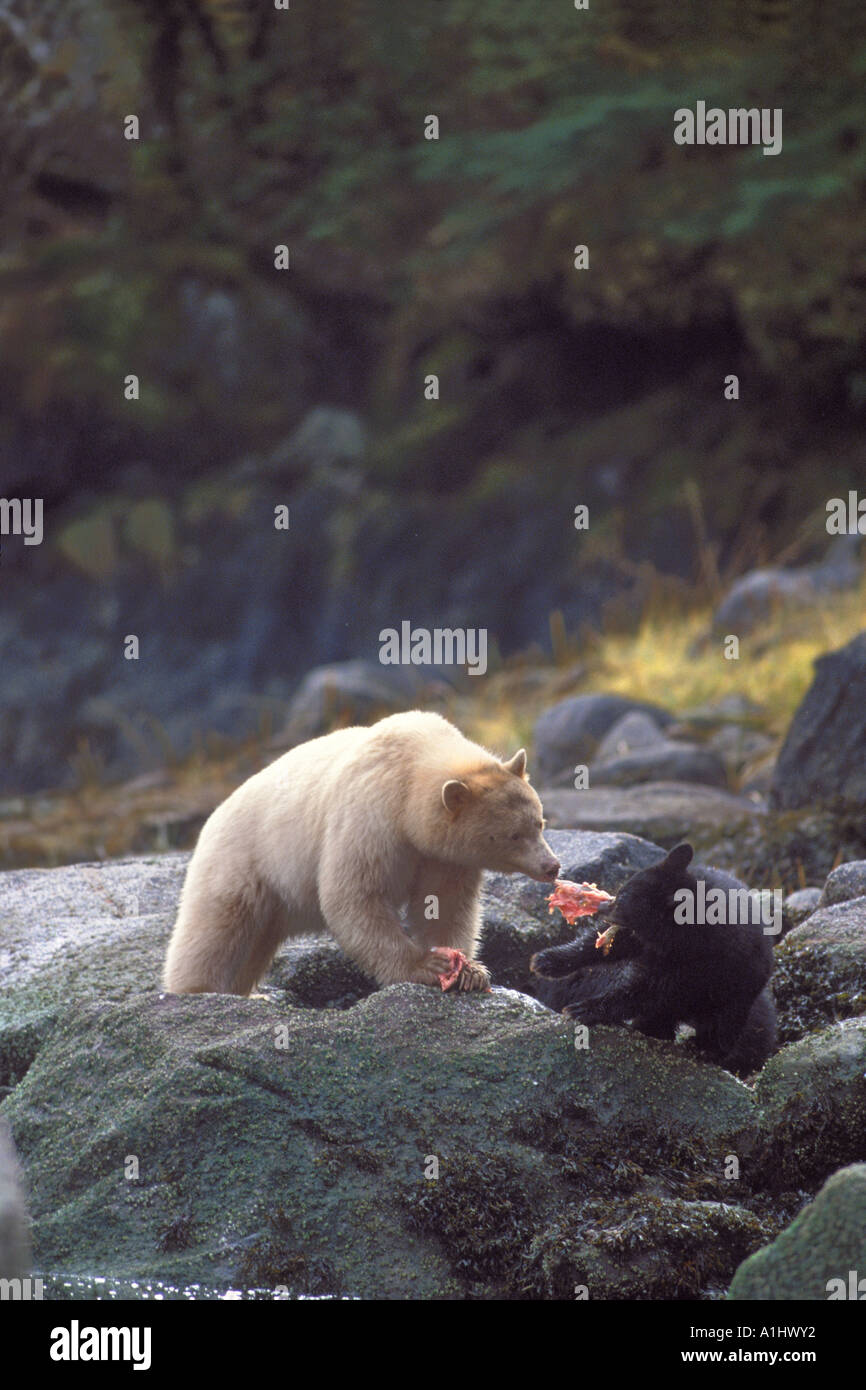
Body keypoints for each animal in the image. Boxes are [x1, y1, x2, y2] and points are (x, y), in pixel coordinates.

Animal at [163, 710, 561, 996]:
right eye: (513, 835)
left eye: (539, 822)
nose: (552, 866)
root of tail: (216, 813)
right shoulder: (370, 817)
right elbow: (354, 896)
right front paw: (427, 968)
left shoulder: (443, 855)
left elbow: (445, 904)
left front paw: (469, 971)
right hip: (242, 860)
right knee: (217, 926)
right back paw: (196, 989)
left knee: (255, 942)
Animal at [530, 843, 776, 1076]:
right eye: (622, 890)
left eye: (622, 899)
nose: (602, 905)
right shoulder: (646, 941)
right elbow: (614, 944)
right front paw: (549, 960)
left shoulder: (703, 965)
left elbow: (648, 992)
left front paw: (585, 1008)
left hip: (738, 991)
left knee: (725, 1022)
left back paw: (701, 1047)